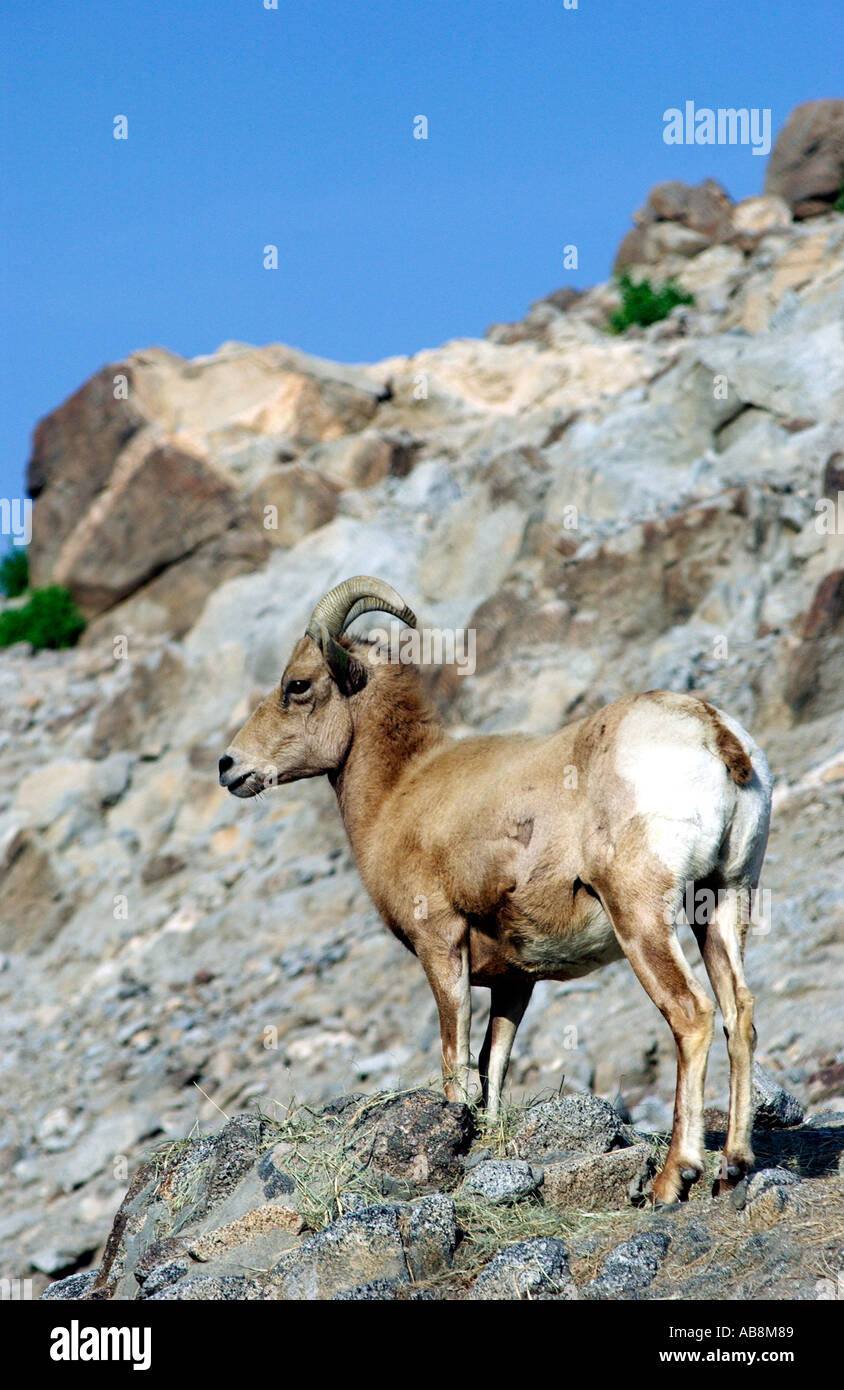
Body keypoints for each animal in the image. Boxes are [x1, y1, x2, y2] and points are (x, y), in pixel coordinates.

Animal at [220, 576, 773, 1205]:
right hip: (723, 902)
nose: (229, 766)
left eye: (298, 684)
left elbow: (455, 1058)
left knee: (693, 1014)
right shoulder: (515, 981)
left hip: (642, 917)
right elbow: (493, 1063)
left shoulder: (441, 943)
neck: (399, 793)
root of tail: (714, 733)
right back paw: (733, 1165)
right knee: (739, 1013)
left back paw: (672, 1178)